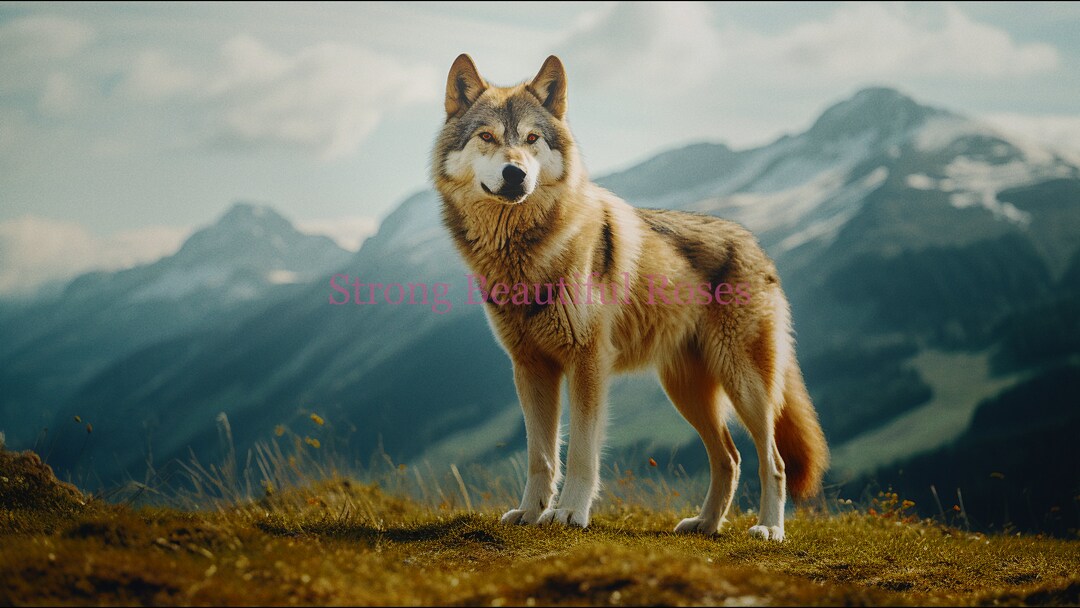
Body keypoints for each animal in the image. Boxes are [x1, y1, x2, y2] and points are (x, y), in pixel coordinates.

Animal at [431, 54, 828, 541]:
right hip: (686, 391)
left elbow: (581, 453)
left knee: (772, 461)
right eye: (486, 137)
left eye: (531, 139)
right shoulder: (530, 368)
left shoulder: (588, 363)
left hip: (744, 385)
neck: (525, 254)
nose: (515, 173)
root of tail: (758, 247)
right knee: (730, 458)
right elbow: (540, 457)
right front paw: (529, 512)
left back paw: (769, 529)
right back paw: (706, 524)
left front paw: (570, 513)